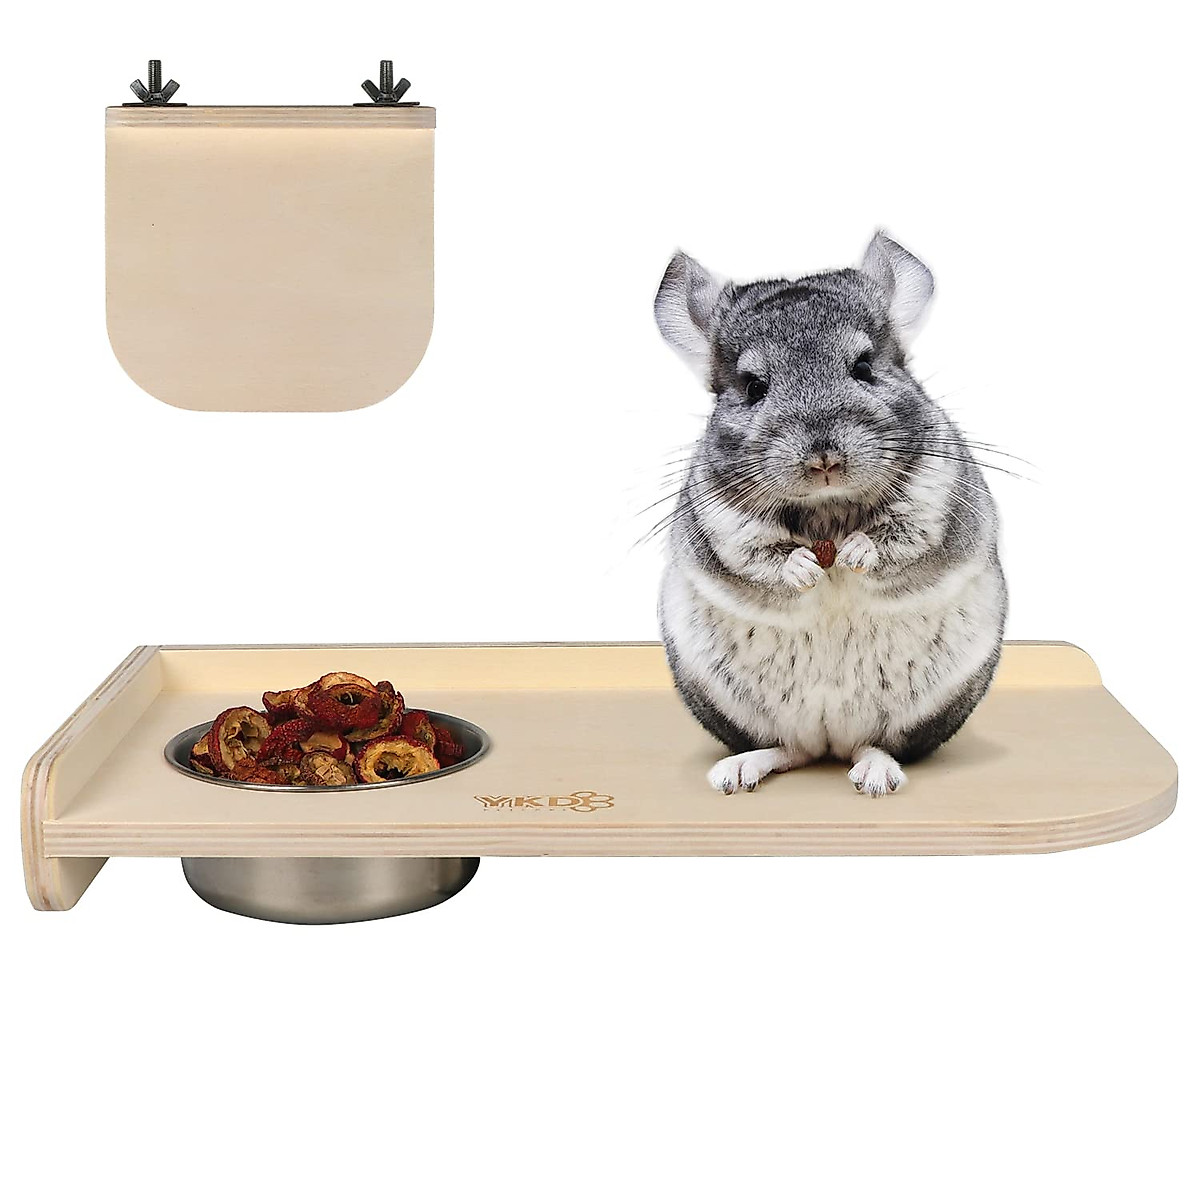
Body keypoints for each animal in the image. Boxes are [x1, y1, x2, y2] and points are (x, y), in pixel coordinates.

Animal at [653, 232, 1007, 796]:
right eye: (753, 386)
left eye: (863, 367)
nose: (824, 456)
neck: (828, 511)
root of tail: (830, 739)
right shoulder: (721, 525)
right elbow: (758, 555)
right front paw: (803, 568)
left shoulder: (937, 501)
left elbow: (900, 538)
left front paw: (856, 553)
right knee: (789, 750)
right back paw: (738, 770)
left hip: (921, 714)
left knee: (876, 744)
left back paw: (876, 775)